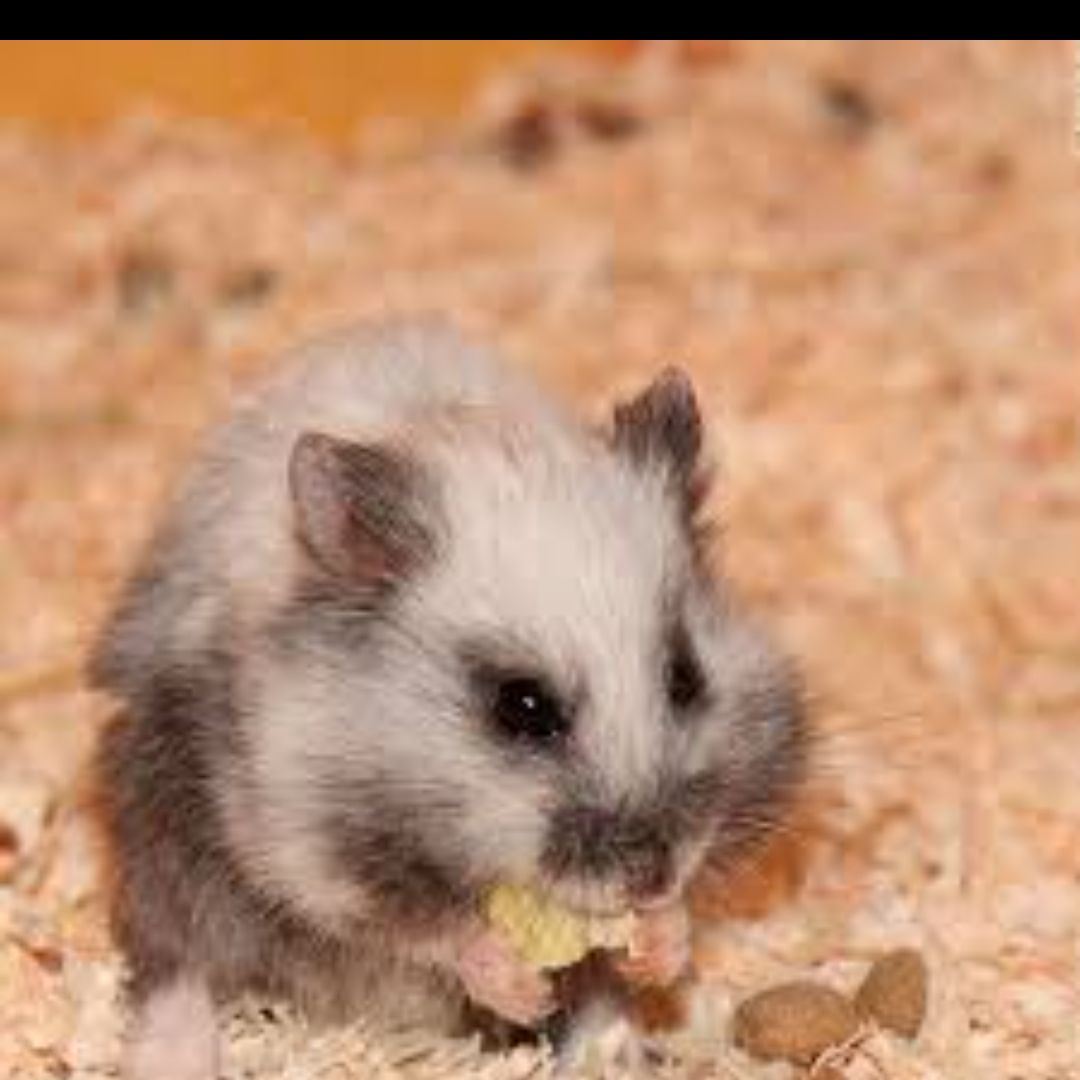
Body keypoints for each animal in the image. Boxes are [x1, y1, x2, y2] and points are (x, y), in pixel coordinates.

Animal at [90, 320, 806, 1079]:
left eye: (683, 676)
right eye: (522, 707)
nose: (650, 878)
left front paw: (660, 945)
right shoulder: (309, 847)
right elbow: (424, 928)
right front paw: (521, 989)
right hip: (162, 837)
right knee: (175, 964)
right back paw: (174, 1057)